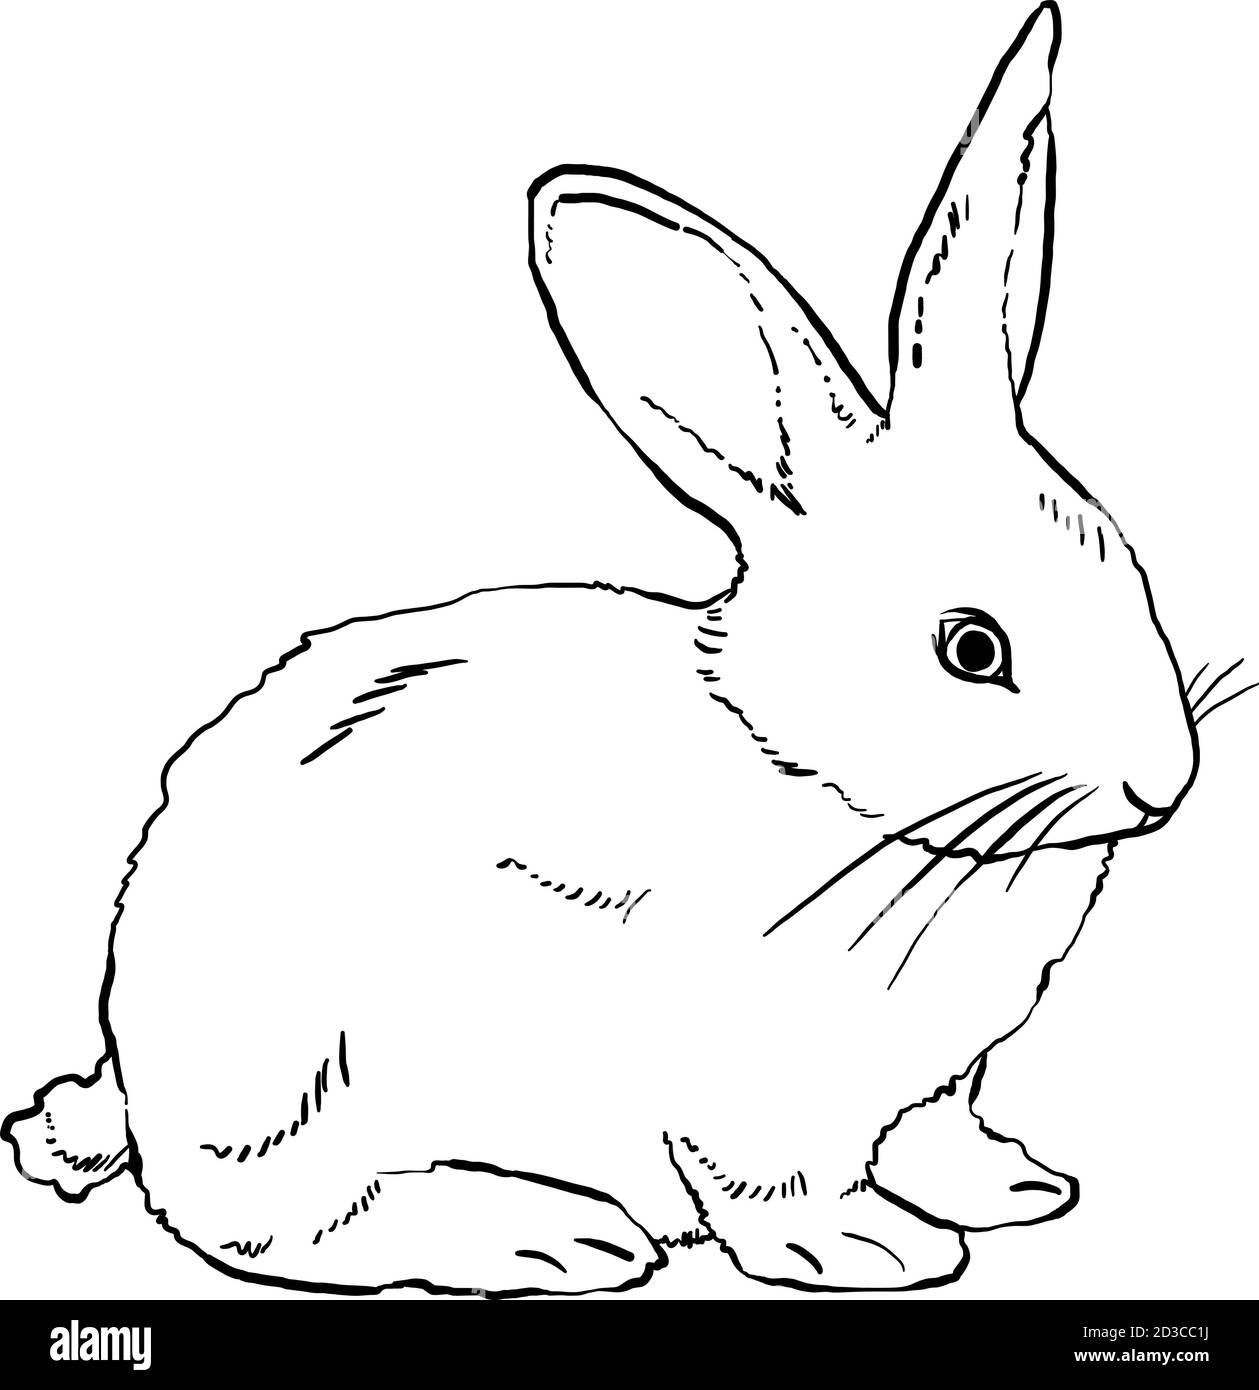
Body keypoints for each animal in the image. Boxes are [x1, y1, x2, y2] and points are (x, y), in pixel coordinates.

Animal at [3, 2, 1205, 1297]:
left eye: (1125, 565)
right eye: (972, 649)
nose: (1163, 784)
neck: (815, 781)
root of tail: (136, 1069)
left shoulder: (932, 1083)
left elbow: (934, 1132)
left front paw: (1012, 1187)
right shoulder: (749, 1082)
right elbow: (774, 1185)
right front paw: (871, 1246)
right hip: (302, 1064)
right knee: (272, 1219)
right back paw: (543, 1232)